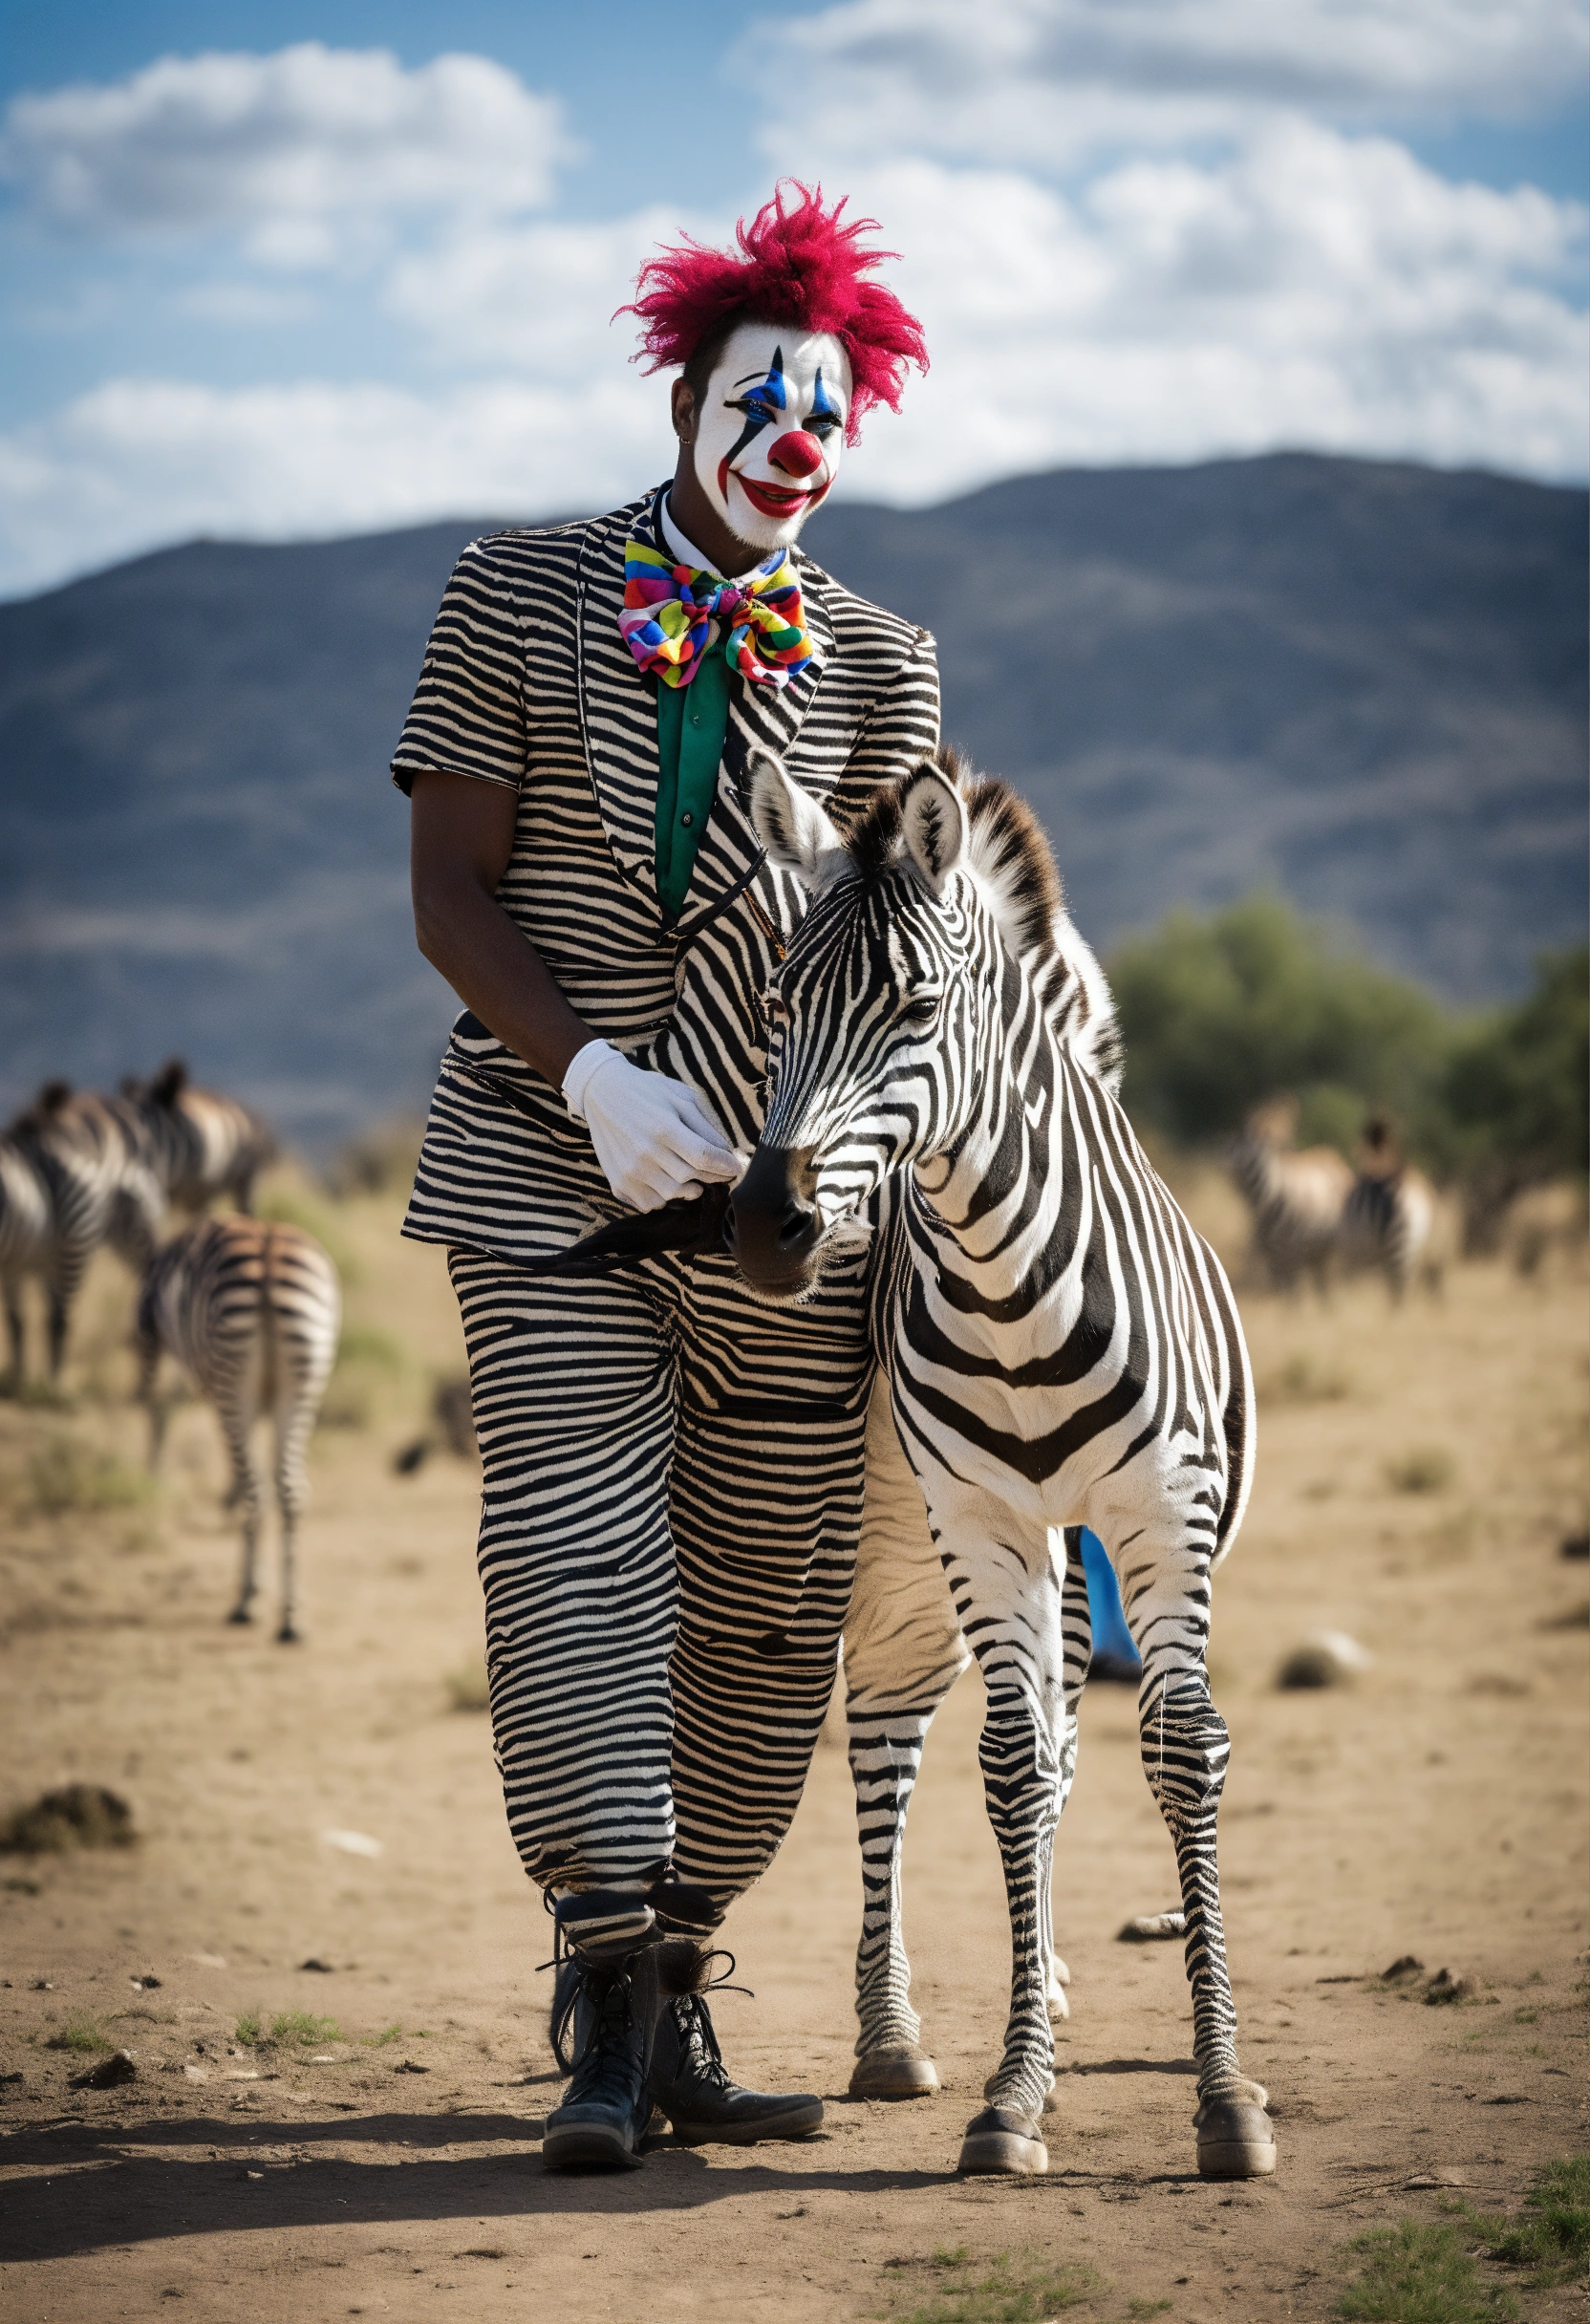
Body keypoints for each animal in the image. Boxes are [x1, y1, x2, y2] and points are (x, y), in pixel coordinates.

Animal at [8, 1084, 165, 1376]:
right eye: (141, 1215)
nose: (155, 1262)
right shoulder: (64, 1250)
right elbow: (50, 1318)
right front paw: (47, 1378)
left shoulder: (32, 1261)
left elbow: (20, 1320)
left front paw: (21, 1377)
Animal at [136, 1218, 341, 1641]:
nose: (139, 1389)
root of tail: (268, 1249)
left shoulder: (210, 1387)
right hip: (304, 1376)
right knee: (291, 1488)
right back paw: (291, 1616)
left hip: (234, 1380)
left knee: (257, 1487)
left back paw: (246, 1600)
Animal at [730, 745, 1274, 2183]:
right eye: (777, 1002)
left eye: (917, 1006)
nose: (763, 1222)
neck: (1007, 1280)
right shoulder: (975, 1519)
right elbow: (1013, 1768)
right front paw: (1014, 2091)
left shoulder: (1158, 1515)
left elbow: (1180, 1752)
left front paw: (1225, 2092)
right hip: (952, 1551)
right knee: (933, 1734)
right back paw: (925, 2022)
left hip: (1083, 1549)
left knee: (1094, 1735)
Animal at [1228, 1095, 1352, 1296]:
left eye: (1279, 1138)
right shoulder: (1272, 1256)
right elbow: (1285, 1296)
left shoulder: (1293, 1253)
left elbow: (1294, 1295)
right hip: (1315, 1252)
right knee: (1322, 1287)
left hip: (1331, 1248)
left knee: (1331, 1286)